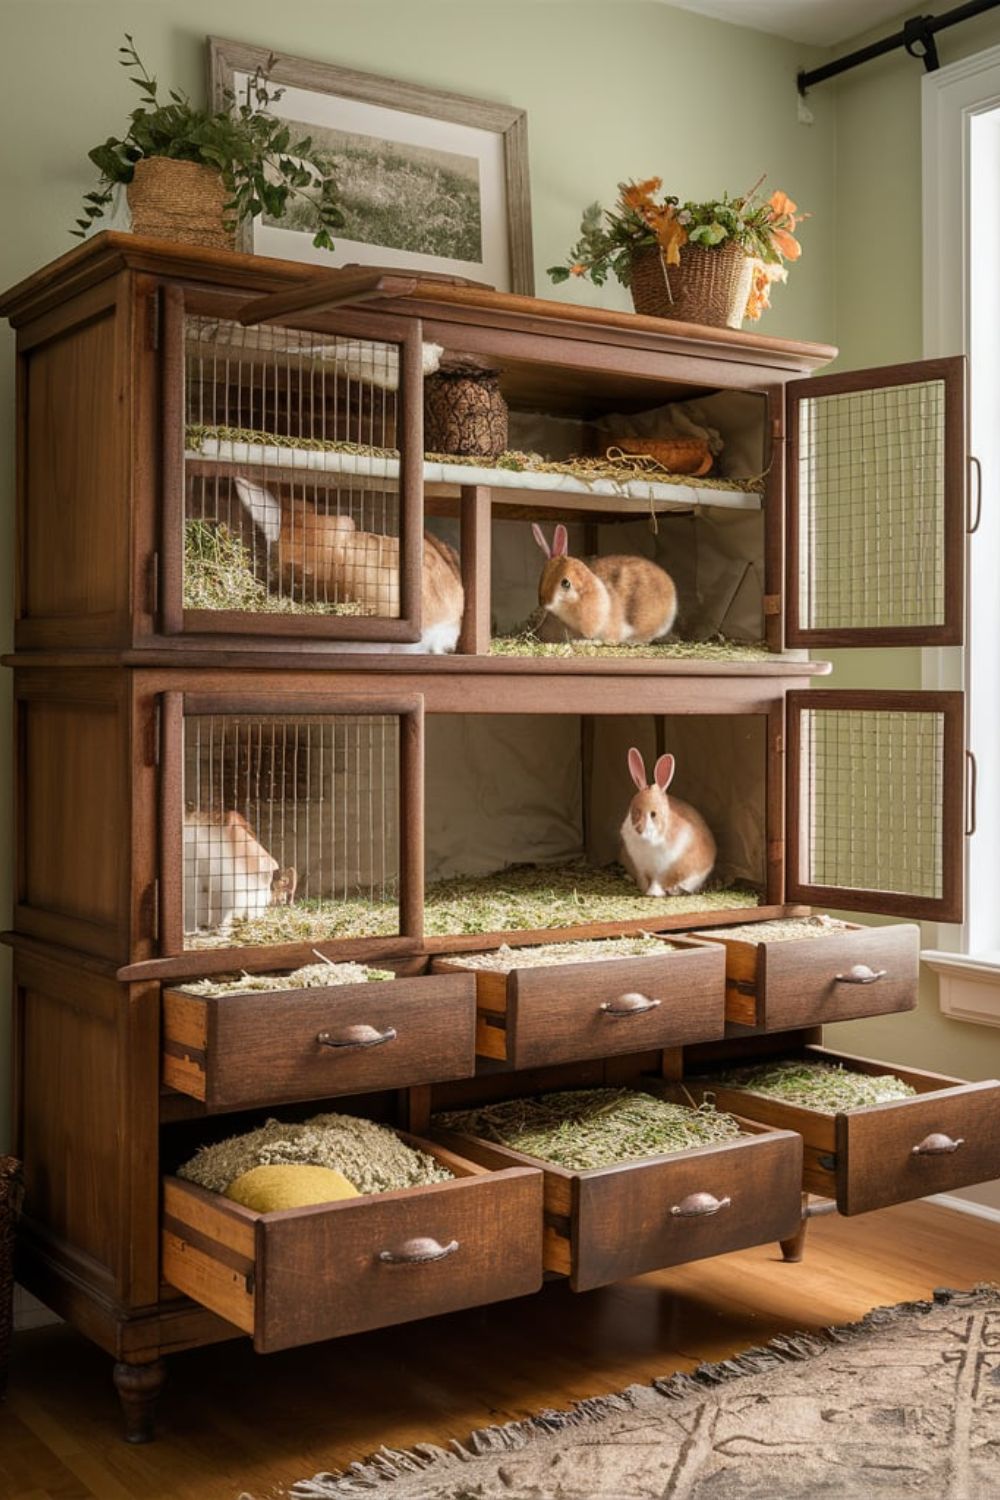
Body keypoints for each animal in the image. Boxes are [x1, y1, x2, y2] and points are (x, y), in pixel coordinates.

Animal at [619, 748, 716, 897]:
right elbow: (643, 879)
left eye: (653, 814)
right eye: (634, 811)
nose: (639, 829)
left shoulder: (665, 870)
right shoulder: (640, 867)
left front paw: (652, 893)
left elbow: (658, 882)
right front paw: (644, 890)